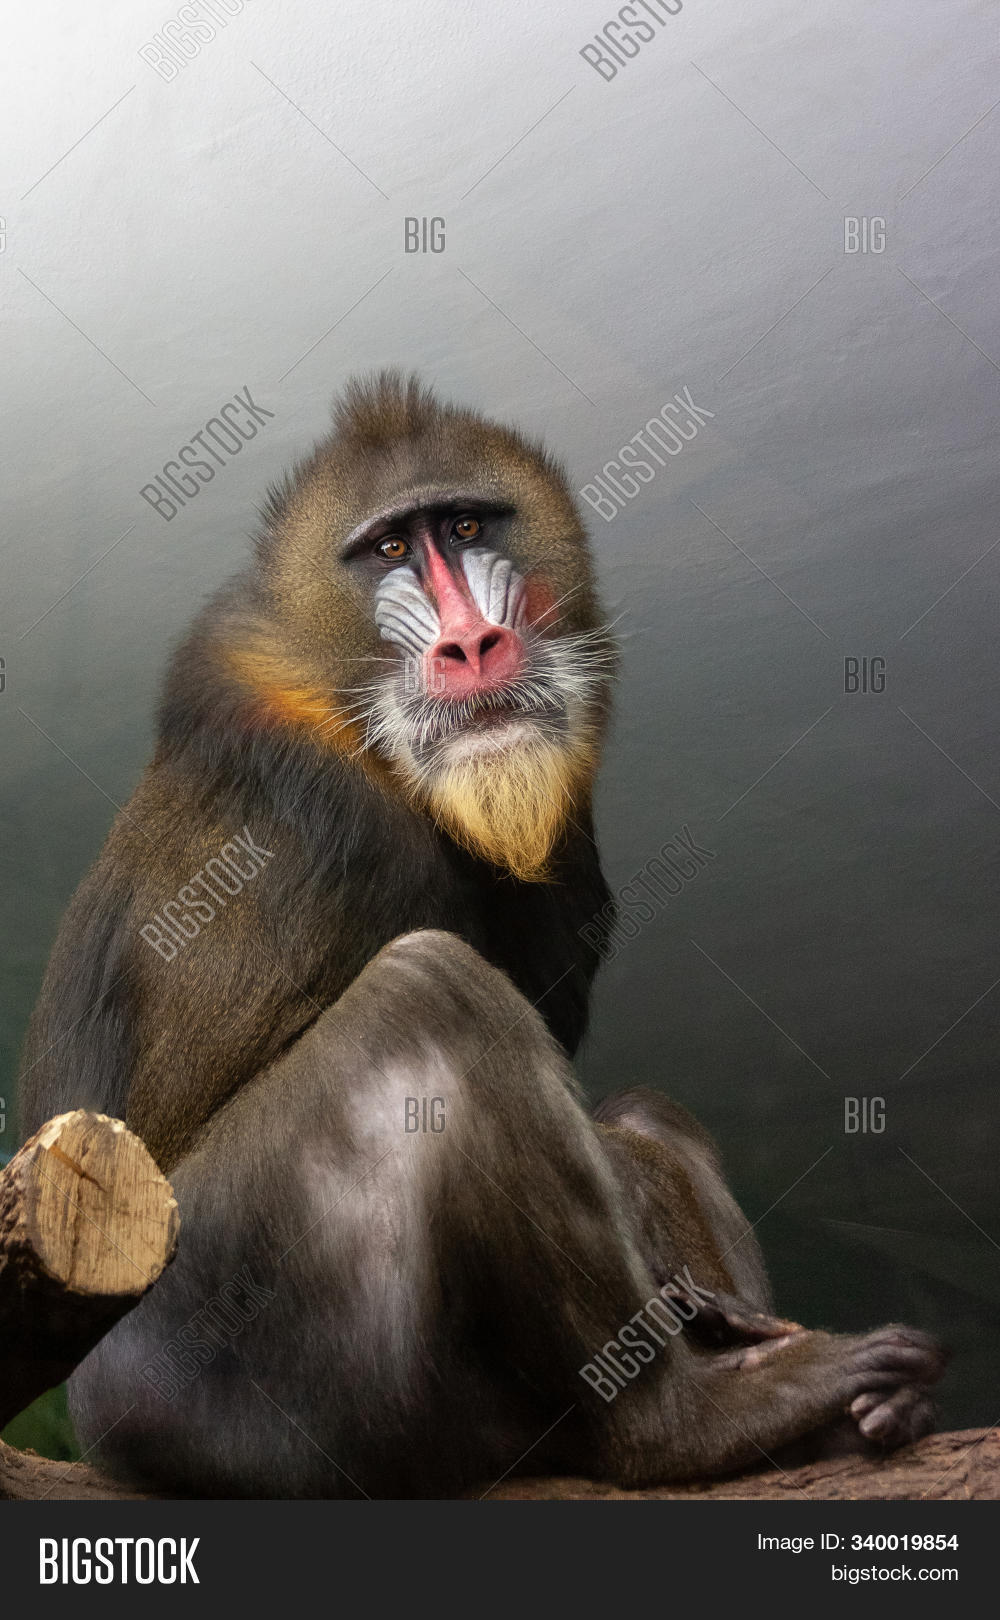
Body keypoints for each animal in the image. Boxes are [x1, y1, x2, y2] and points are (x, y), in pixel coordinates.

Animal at [19, 373, 945, 1495]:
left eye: (463, 527)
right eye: (387, 549)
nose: (471, 645)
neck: (340, 701)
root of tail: (97, 1426)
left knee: (640, 1110)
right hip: (245, 1359)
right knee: (428, 995)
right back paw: (696, 1417)